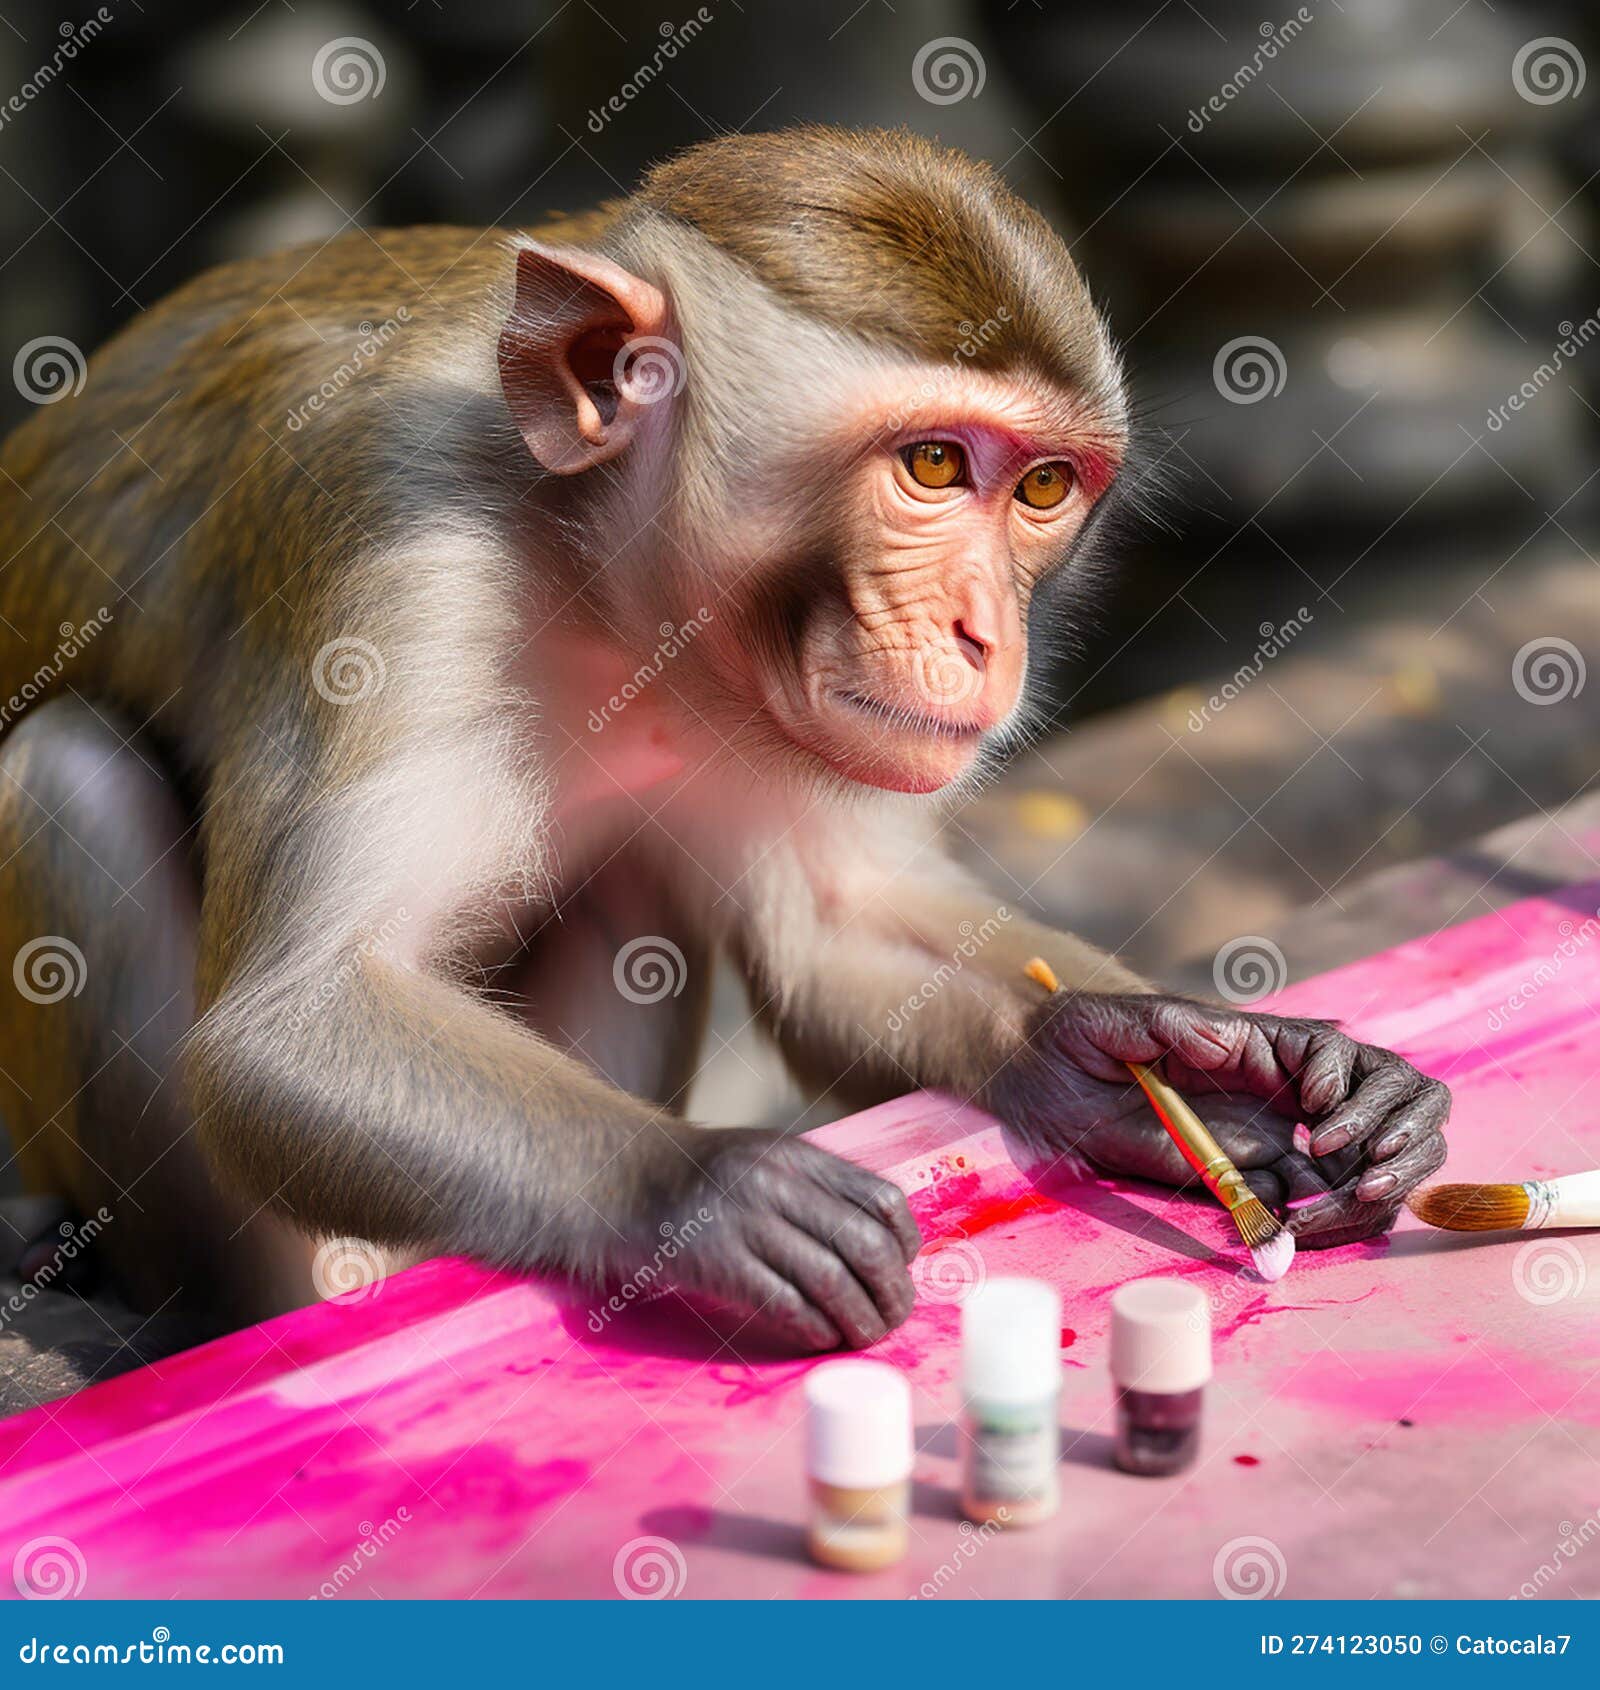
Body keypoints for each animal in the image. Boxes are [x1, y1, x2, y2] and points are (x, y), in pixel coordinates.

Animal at [0, 128, 1448, 1354]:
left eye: (1041, 486)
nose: (987, 633)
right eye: (932, 466)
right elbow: (293, 1023)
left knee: (636, 882)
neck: (588, 558)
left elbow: (828, 923)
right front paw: (704, 1188)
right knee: (71, 775)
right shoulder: (397, 535)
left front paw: (1145, 1058)